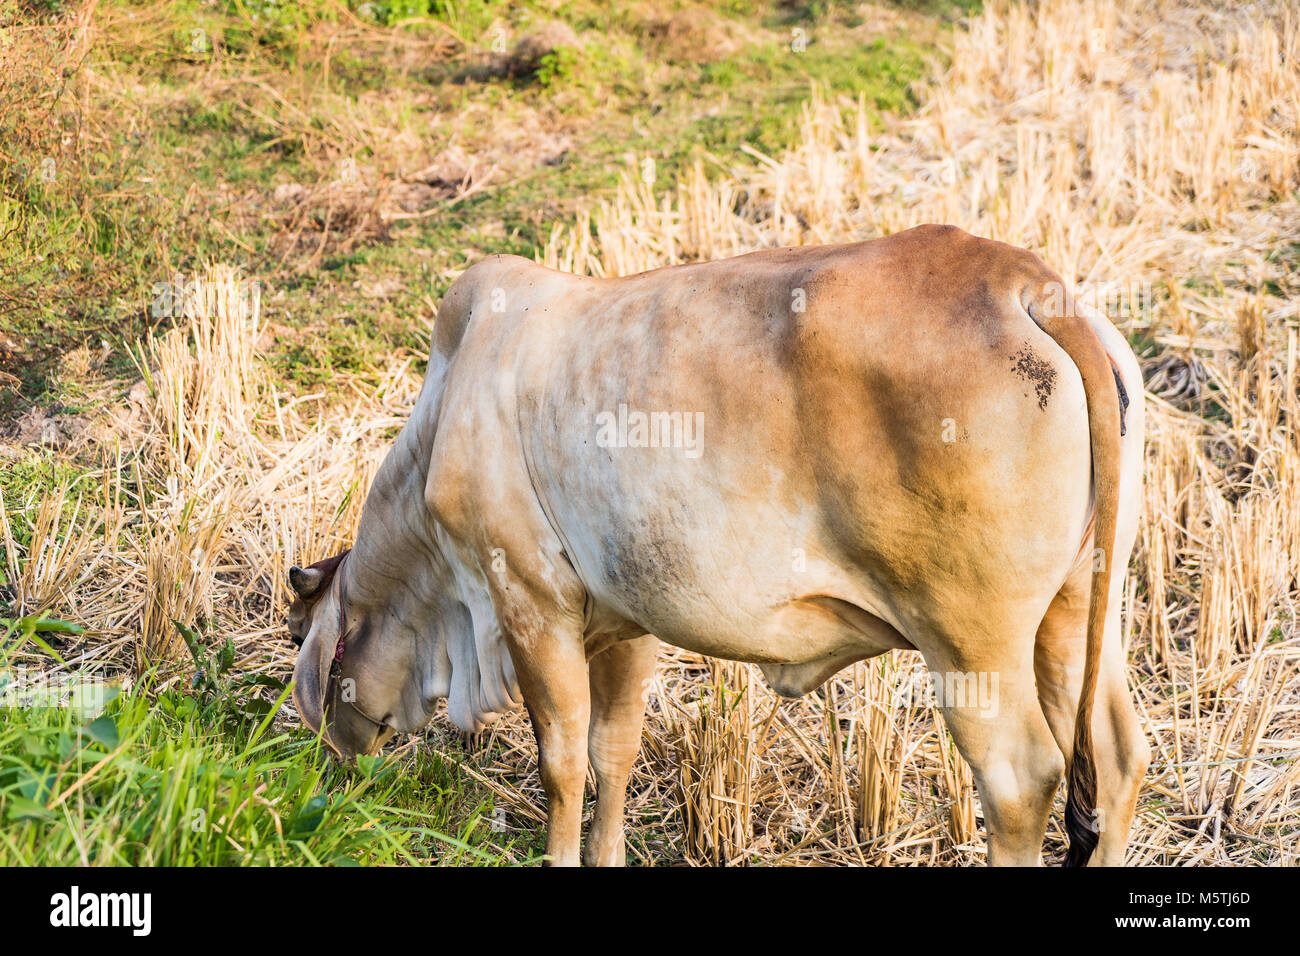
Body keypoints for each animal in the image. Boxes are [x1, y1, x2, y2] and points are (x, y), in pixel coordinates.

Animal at [288, 224, 1149, 866]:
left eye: (303, 637)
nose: (328, 765)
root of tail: (1024, 283)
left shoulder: (531, 603)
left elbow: (561, 764)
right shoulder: (624, 621)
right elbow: (612, 753)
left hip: (970, 642)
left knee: (1019, 782)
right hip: (1076, 611)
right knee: (1114, 761)